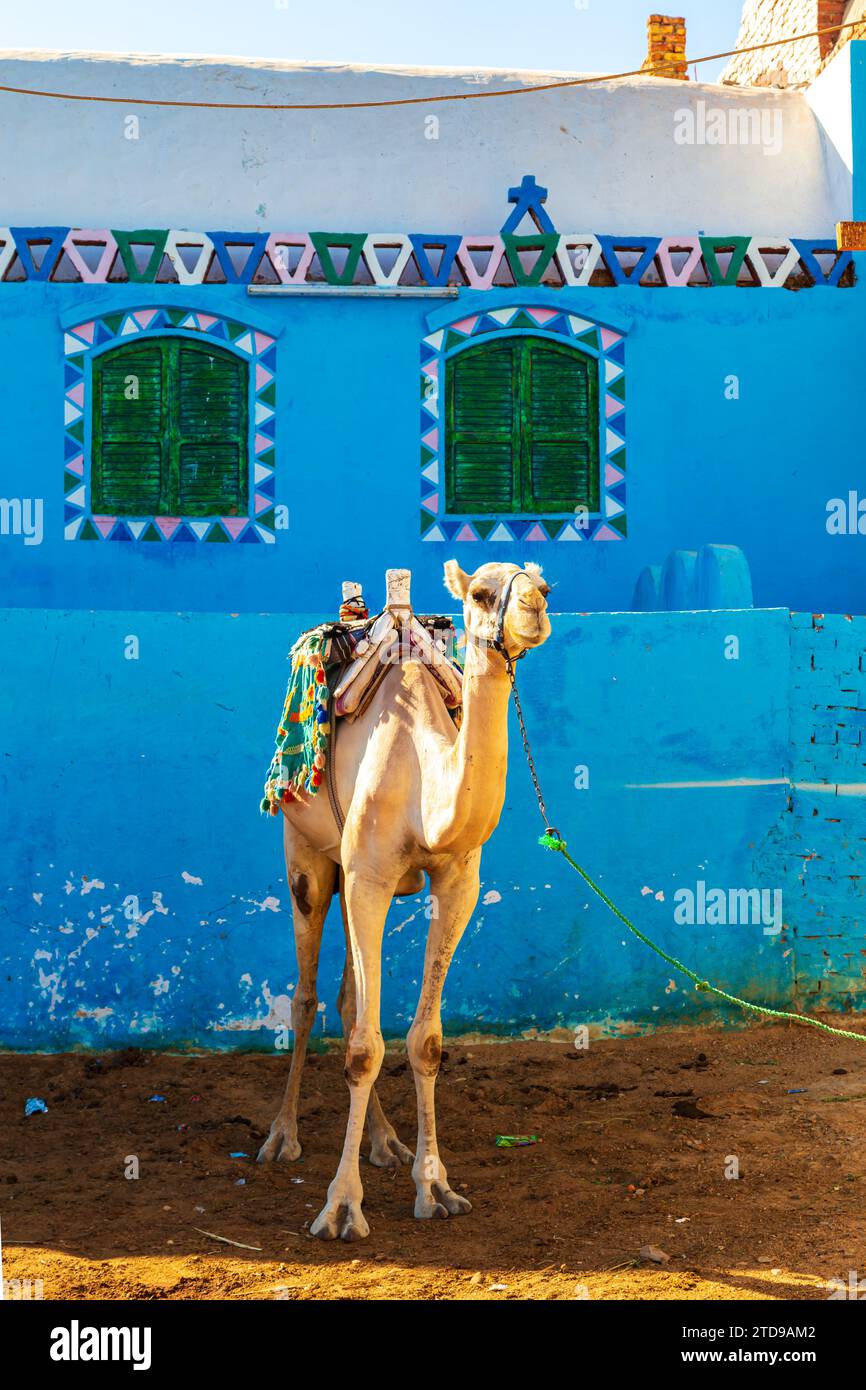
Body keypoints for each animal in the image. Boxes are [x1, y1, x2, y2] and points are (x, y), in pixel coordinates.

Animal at [257, 559, 552, 1241]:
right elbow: (367, 1048)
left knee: (347, 1001)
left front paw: (435, 1187)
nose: (535, 607)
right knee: (308, 997)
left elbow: (425, 1040)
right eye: (482, 594)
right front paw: (341, 1208)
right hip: (307, 858)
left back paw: (386, 1143)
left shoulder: (456, 882)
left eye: (546, 585)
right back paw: (281, 1137)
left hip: (348, 873)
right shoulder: (367, 878)